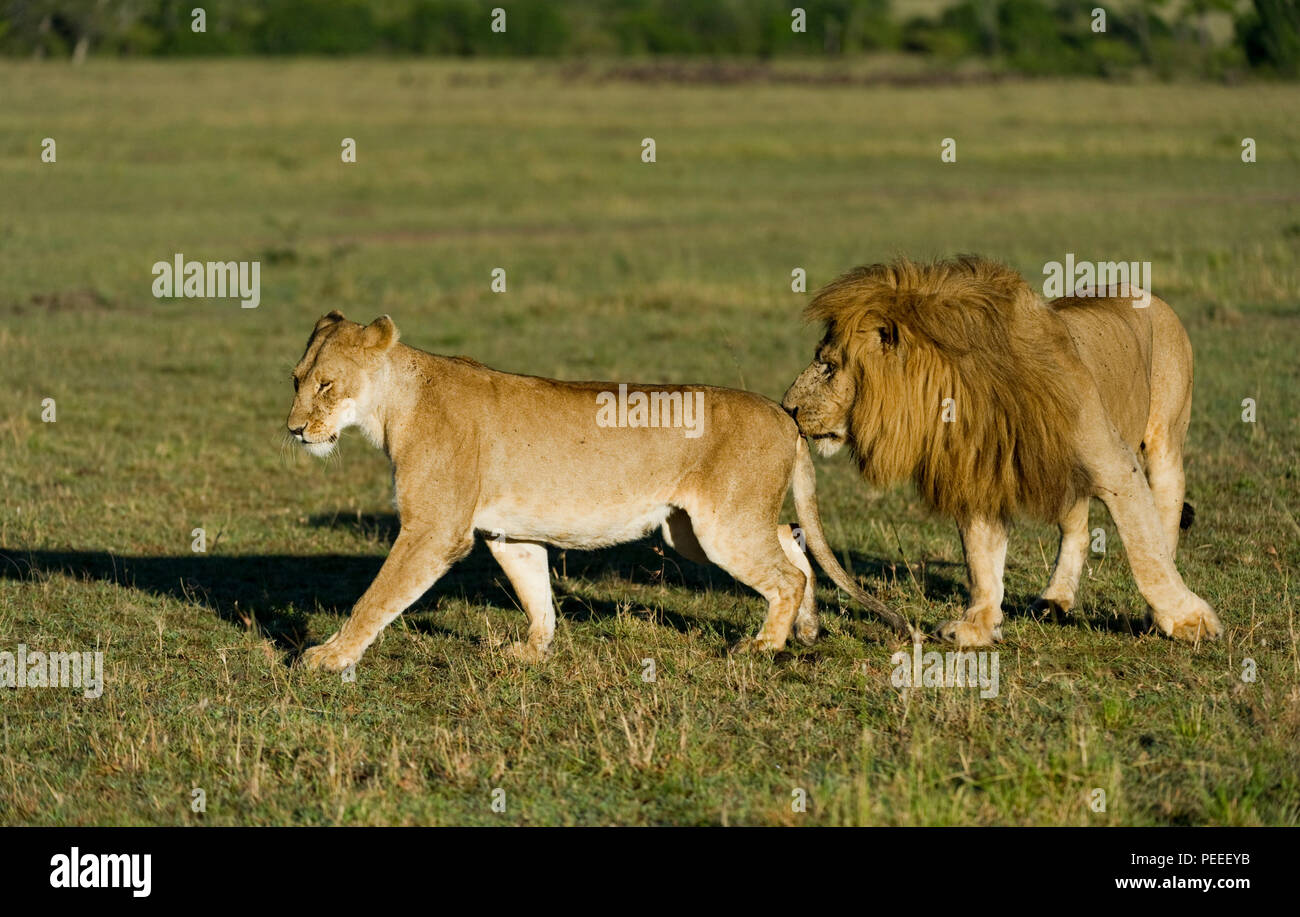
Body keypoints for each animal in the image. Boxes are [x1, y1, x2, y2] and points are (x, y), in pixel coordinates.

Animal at [286, 310, 911, 671]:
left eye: (326, 384)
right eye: (294, 380)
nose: (294, 430)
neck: (392, 406)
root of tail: (786, 416)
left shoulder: (433, 531)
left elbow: (376, 597)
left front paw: (328, 657)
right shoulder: (509, 534)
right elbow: (536, 593)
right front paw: (532, 652)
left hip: (722, 526)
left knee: (787, 575)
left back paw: (762, 647)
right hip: (691, 528)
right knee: (791, 535)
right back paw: (806, 630)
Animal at [781, 255, 1222, 647]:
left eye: (829, 366)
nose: (788, 407)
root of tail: (1140, 290)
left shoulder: (1115, 464)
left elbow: (1145, 550)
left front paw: (1192, 621)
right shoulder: (979, 470)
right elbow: (982, 557)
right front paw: (977, 626)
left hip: (1164, 440)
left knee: (1165, 520)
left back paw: (1156, 613)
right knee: (1077, 530)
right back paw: (1055, 600)